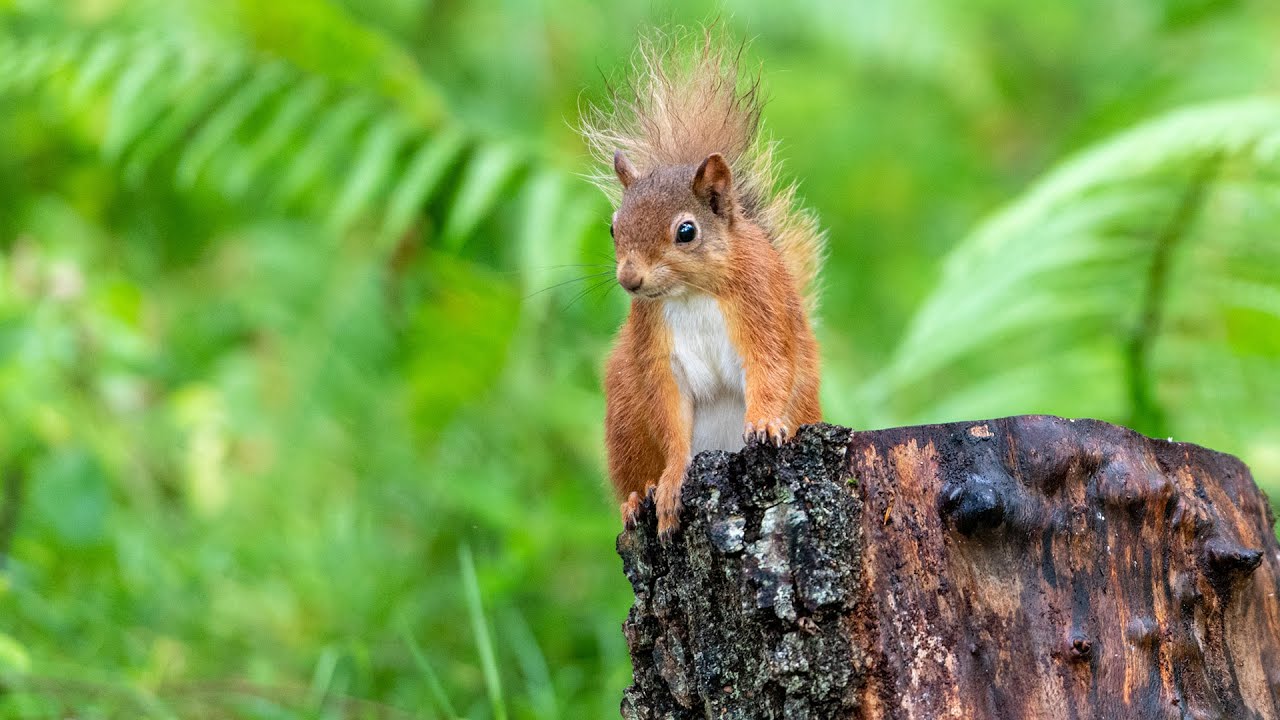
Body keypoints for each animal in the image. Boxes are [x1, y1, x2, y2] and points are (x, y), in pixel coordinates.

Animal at [581, 31, 825, 537]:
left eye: (686, 231)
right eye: (613, 228)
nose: (630, 278)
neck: (692, 293)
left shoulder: (763, 310)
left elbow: (771, 368)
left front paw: (765, 424)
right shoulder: (657, 351)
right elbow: (670, 420)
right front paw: (673, 482)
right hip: (626, 421)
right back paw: (635, 500)